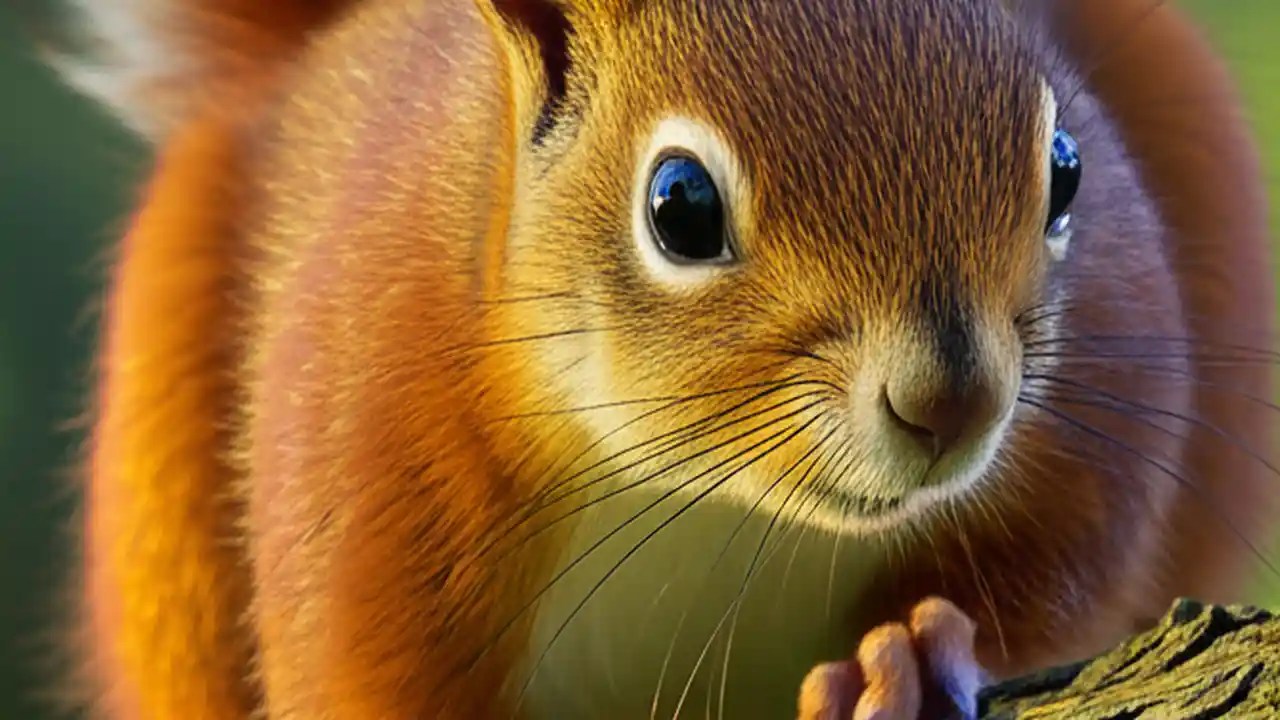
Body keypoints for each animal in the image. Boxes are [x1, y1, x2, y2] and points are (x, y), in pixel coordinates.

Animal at [60, 0, 1275, 717]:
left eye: (1066, 168)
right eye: (679, 207)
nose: (954, 404)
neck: (714, 507)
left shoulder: (1107, 399)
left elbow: (1074, 578)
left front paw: (911, 658)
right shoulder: (367, 424)